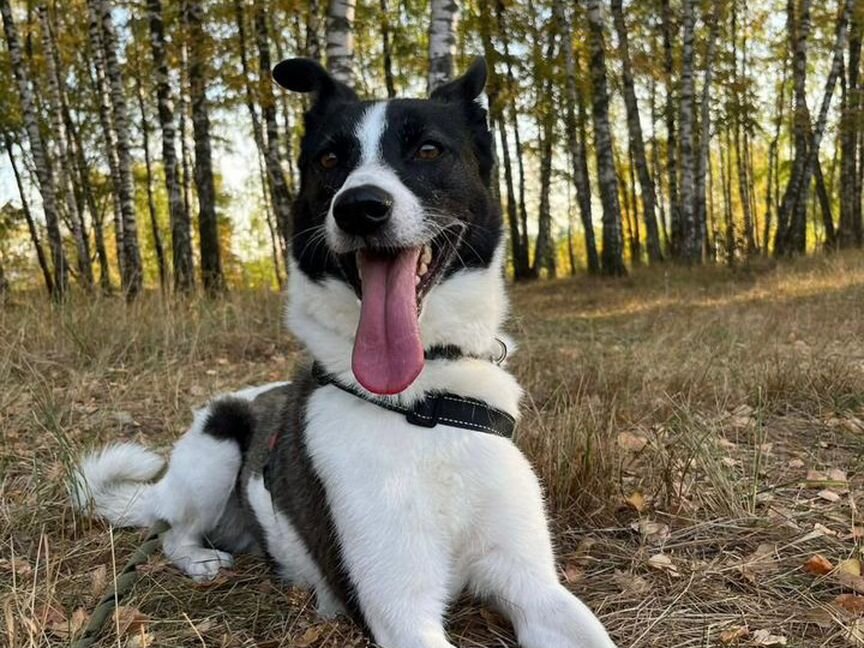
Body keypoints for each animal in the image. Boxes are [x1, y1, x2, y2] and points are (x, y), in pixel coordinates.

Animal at [72, 58, 616, 644]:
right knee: (172, 532)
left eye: (428, 150)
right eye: (330, 159)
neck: (425, 401)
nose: (360, 208)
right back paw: (199, 559)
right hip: (216, 447)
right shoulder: (400, 611)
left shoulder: (533, 586)